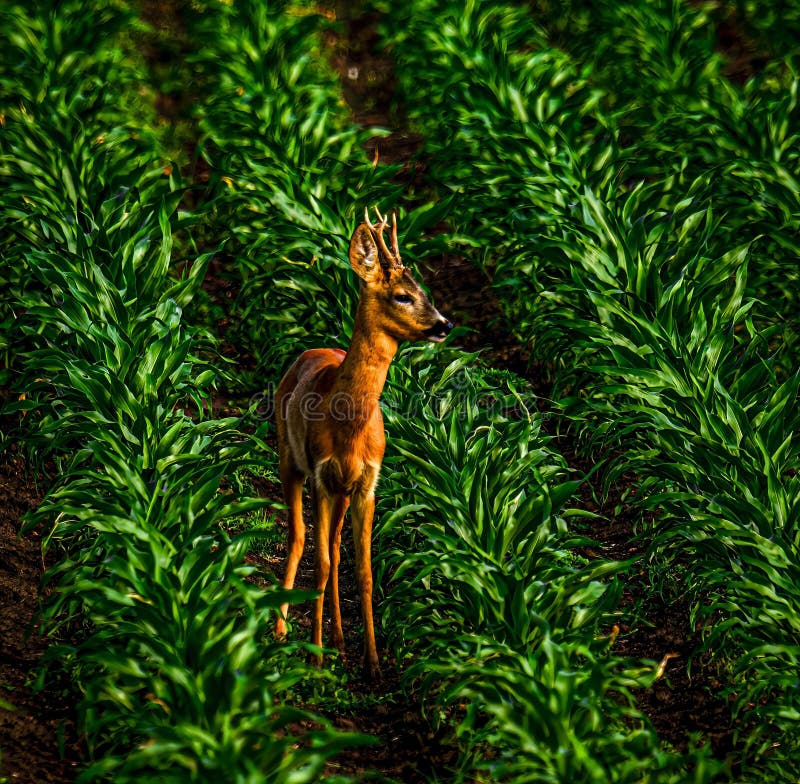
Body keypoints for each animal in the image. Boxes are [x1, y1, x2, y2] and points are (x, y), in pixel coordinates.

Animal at [274, 208, 453, 679]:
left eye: (425, 291)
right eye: (403, 296)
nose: (444, 325)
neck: (349, 425)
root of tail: (311, 351)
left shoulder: (368, 482)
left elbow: (364, 570)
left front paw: (372, 661)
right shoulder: (321, 474)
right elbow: (319, 562)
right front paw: (315, 655)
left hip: (340, 490)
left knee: (335, 546)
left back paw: (337, 637)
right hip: (289, 459)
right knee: (300, 538)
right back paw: (282, 630)